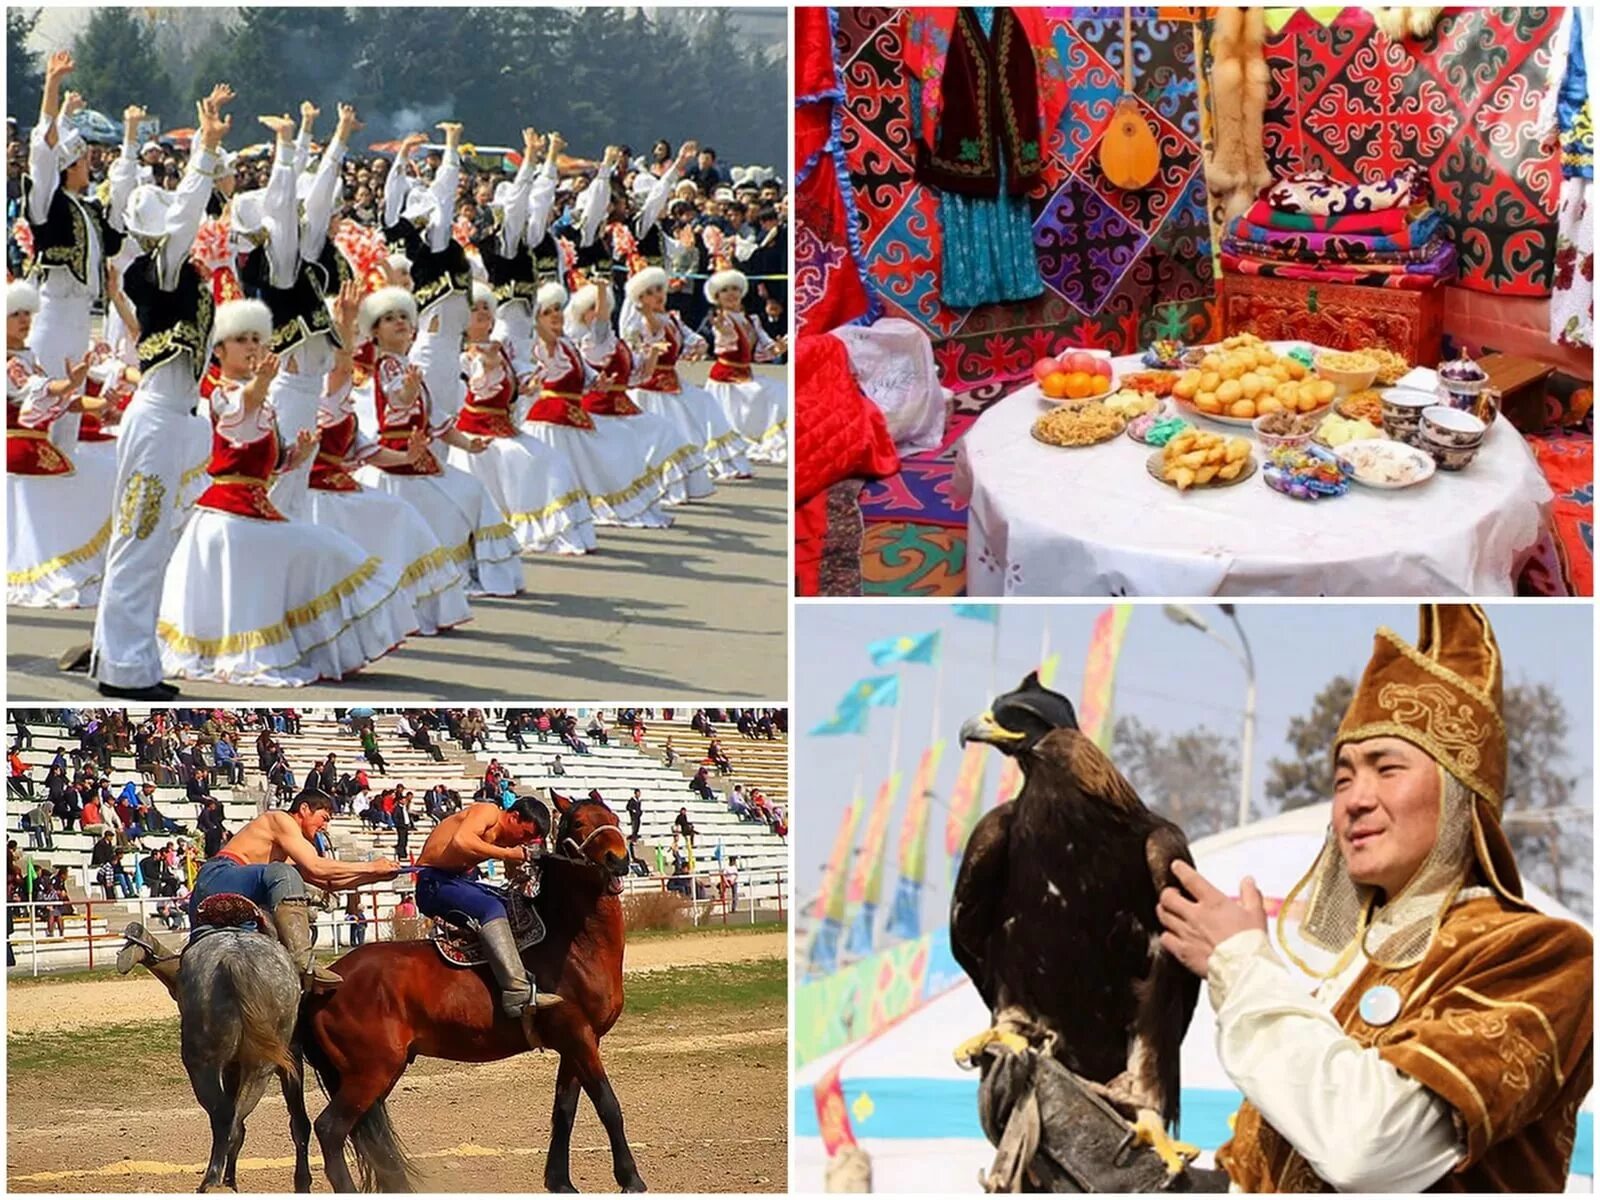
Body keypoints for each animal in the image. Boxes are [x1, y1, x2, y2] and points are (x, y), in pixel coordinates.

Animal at [302, 793, 640, 1196]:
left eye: (614, 818)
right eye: (577, 823)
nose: (618, 859)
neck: (572, 943)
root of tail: (328, 979)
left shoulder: (575, 1045)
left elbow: (565, 1111)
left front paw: (561, 1181)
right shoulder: (578, 1037)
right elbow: (608, 1105)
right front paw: (631, 1179)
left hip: (378, 1073)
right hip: (369, 1073)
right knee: (330, 1129)